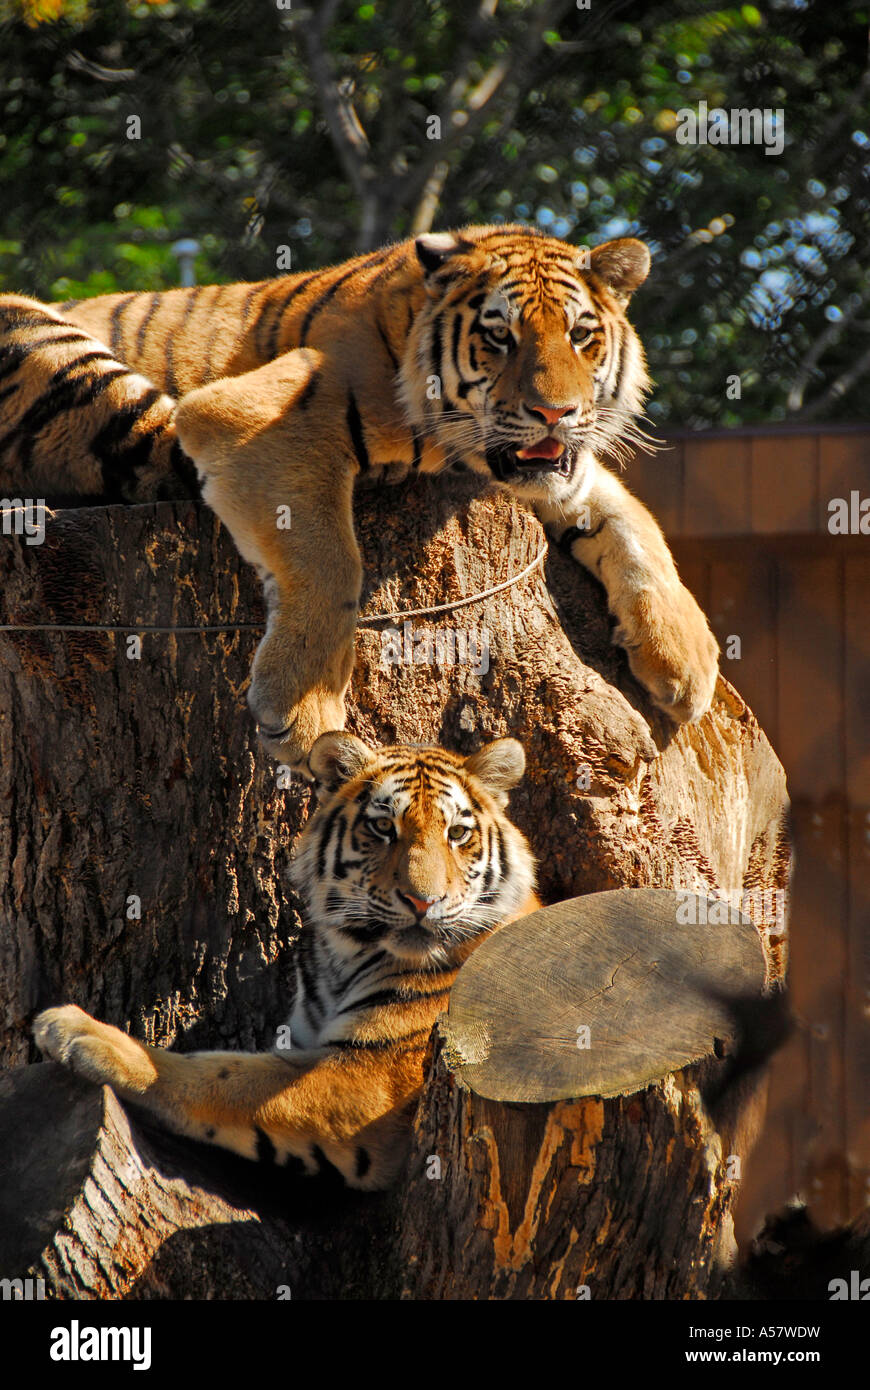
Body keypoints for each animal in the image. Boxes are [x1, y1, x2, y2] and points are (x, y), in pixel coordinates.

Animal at [9, 224, 719, 761]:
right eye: (499, 336)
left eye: (580, 335)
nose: (557, 412)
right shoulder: (258, 419)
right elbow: (330, 561)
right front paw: (303, 712)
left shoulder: (553, 471)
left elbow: (632, 518)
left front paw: (688, 661)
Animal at [34, 733, 539, 1190]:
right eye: (382, 828)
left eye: (457, 833)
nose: (423, 901)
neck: (346, 954)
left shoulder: (371, 1077)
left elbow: (224, 1075)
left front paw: (81, 1033)